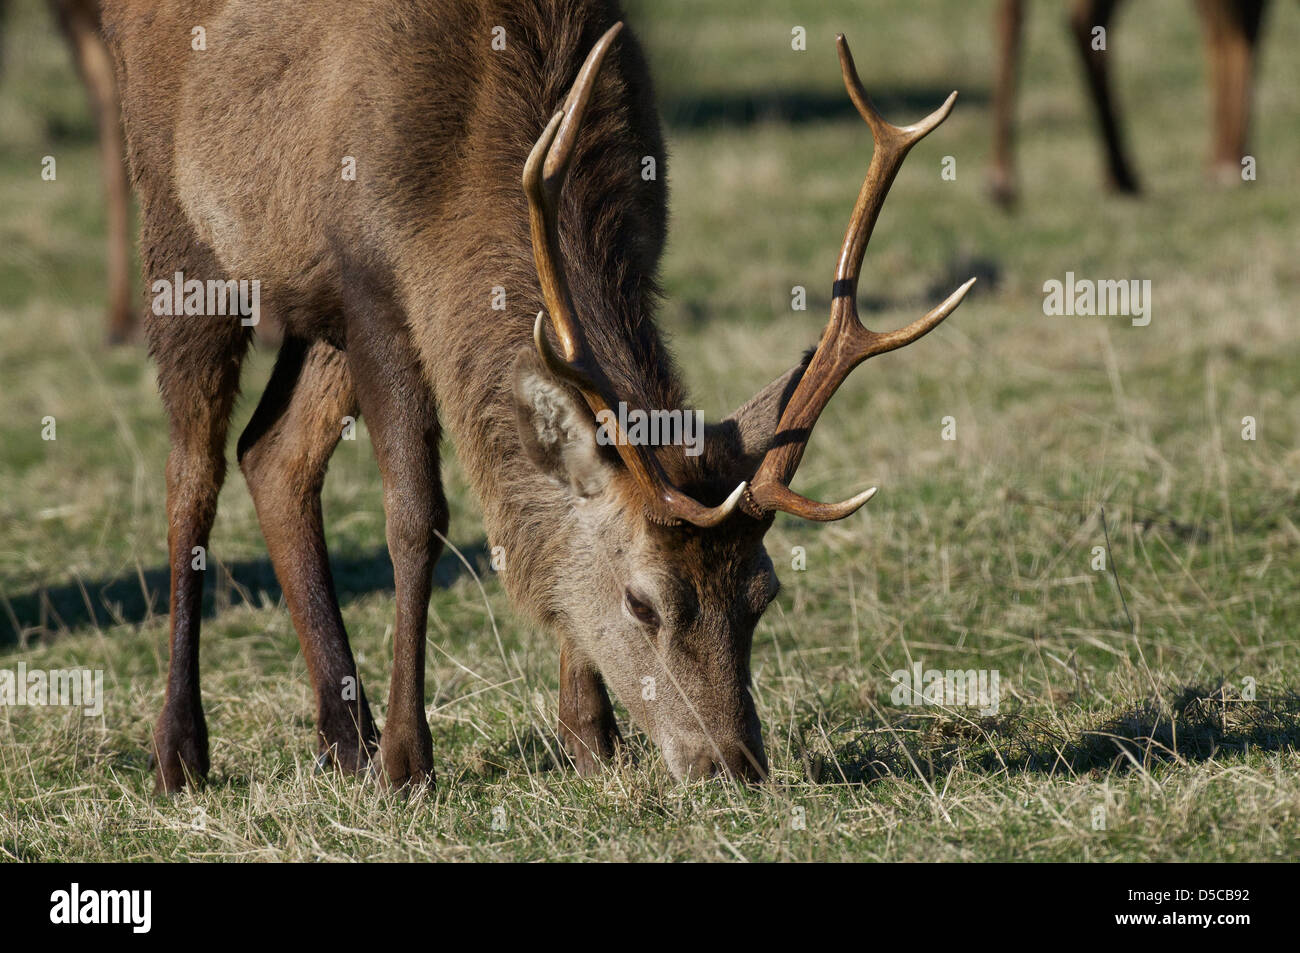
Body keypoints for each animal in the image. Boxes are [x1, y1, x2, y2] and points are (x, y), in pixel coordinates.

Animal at [102, 0, 973, 793]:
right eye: (643, 603)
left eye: (763, 594)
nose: (736, 766)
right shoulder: (374, 287)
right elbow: (416, 518)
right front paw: (408, 763)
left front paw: (591, 741)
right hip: (181, 226)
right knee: (194, 471)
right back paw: (182, 751)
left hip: (311, 305)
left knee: (272, 454)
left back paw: (343, 739)